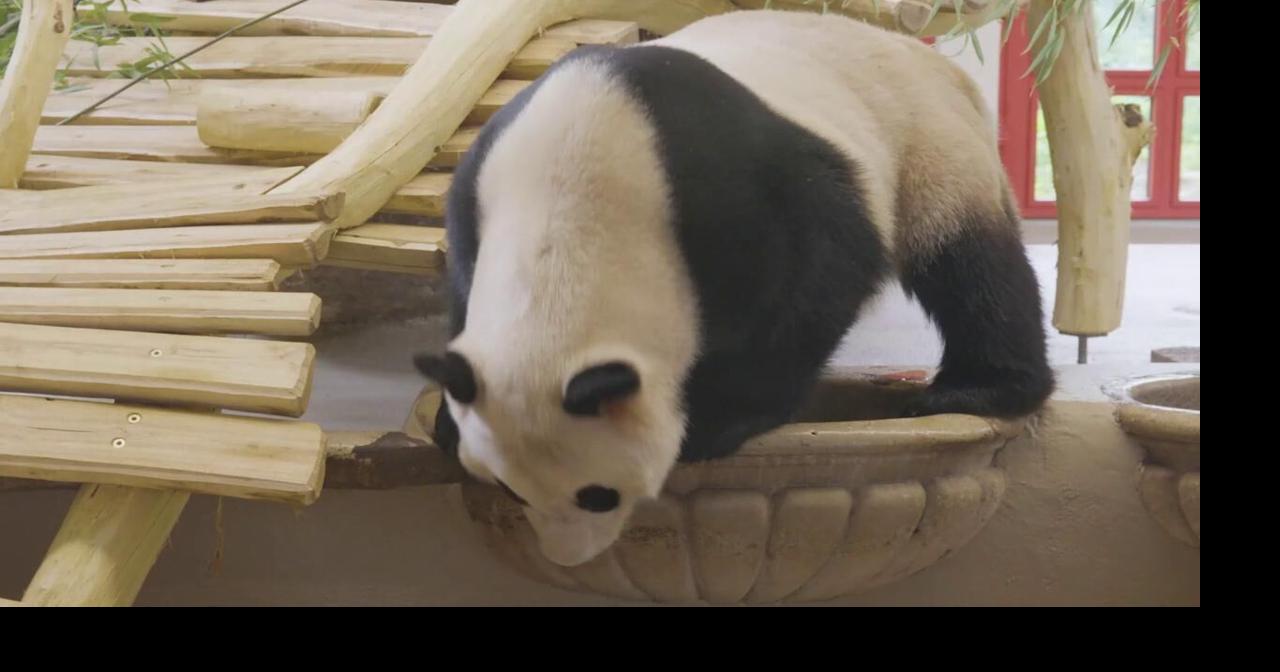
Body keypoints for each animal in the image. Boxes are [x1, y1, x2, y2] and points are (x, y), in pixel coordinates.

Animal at [413, 10, 1053, 567]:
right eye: (512, 491)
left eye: (598, 494)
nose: (571, 557)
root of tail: (934, 63)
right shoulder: (477, 192)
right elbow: (462, 291)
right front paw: (448, 418)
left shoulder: (733, 183)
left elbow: (823, 273)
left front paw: (715, 420)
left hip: (927, 146)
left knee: (972, 268)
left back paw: (979, 390)